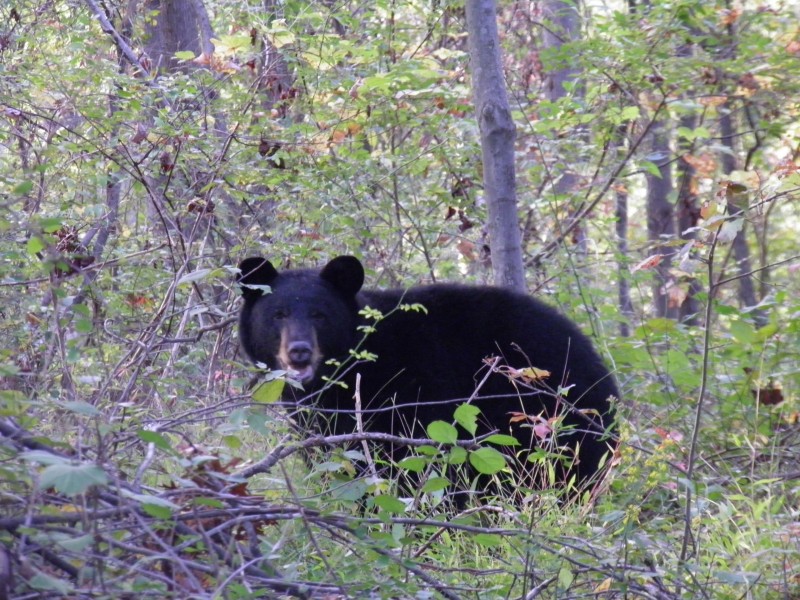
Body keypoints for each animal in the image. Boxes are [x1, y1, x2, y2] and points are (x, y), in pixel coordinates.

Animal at [237, 255, 618, 503]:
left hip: (546, 421)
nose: (299, 351)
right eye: (278, 314)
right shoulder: (318, 420)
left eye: (320, 315)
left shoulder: (412, 396)